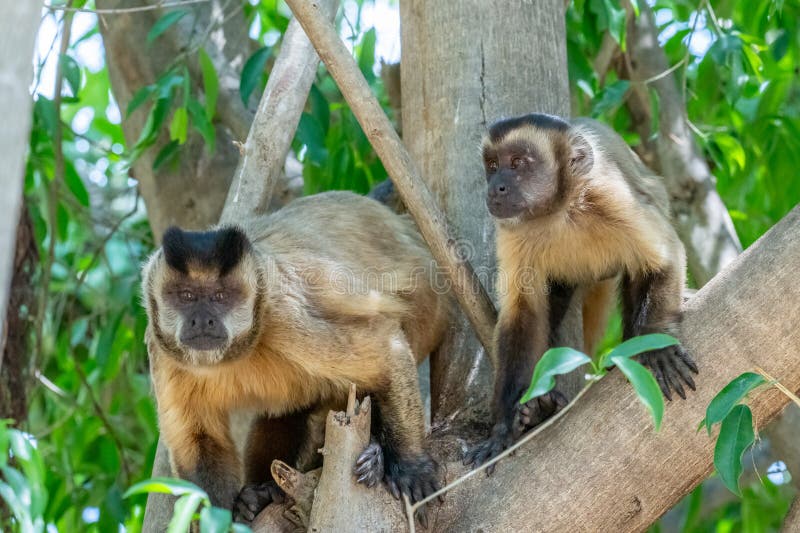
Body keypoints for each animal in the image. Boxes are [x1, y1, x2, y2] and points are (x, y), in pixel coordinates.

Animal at [141, 191, 452, 523]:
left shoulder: (282, 314)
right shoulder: (161, 350)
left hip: (431, 306)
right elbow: (197, 441)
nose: (202, 320)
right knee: (285, 409)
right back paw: (261, 493)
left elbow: (385, 350)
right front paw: (227, 517)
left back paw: (376, 456)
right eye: (186, 296)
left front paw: (411, 466)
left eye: (220, 297)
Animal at [464, 113, 698, 468]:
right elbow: (523, 316)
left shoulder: (611, 194)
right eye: (492, 165)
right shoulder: (511, 231)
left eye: (517, 163)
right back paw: (539, 407)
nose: (496, 186)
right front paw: (504, 426)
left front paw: (656, 343)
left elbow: (665, 255)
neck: (559, 211)